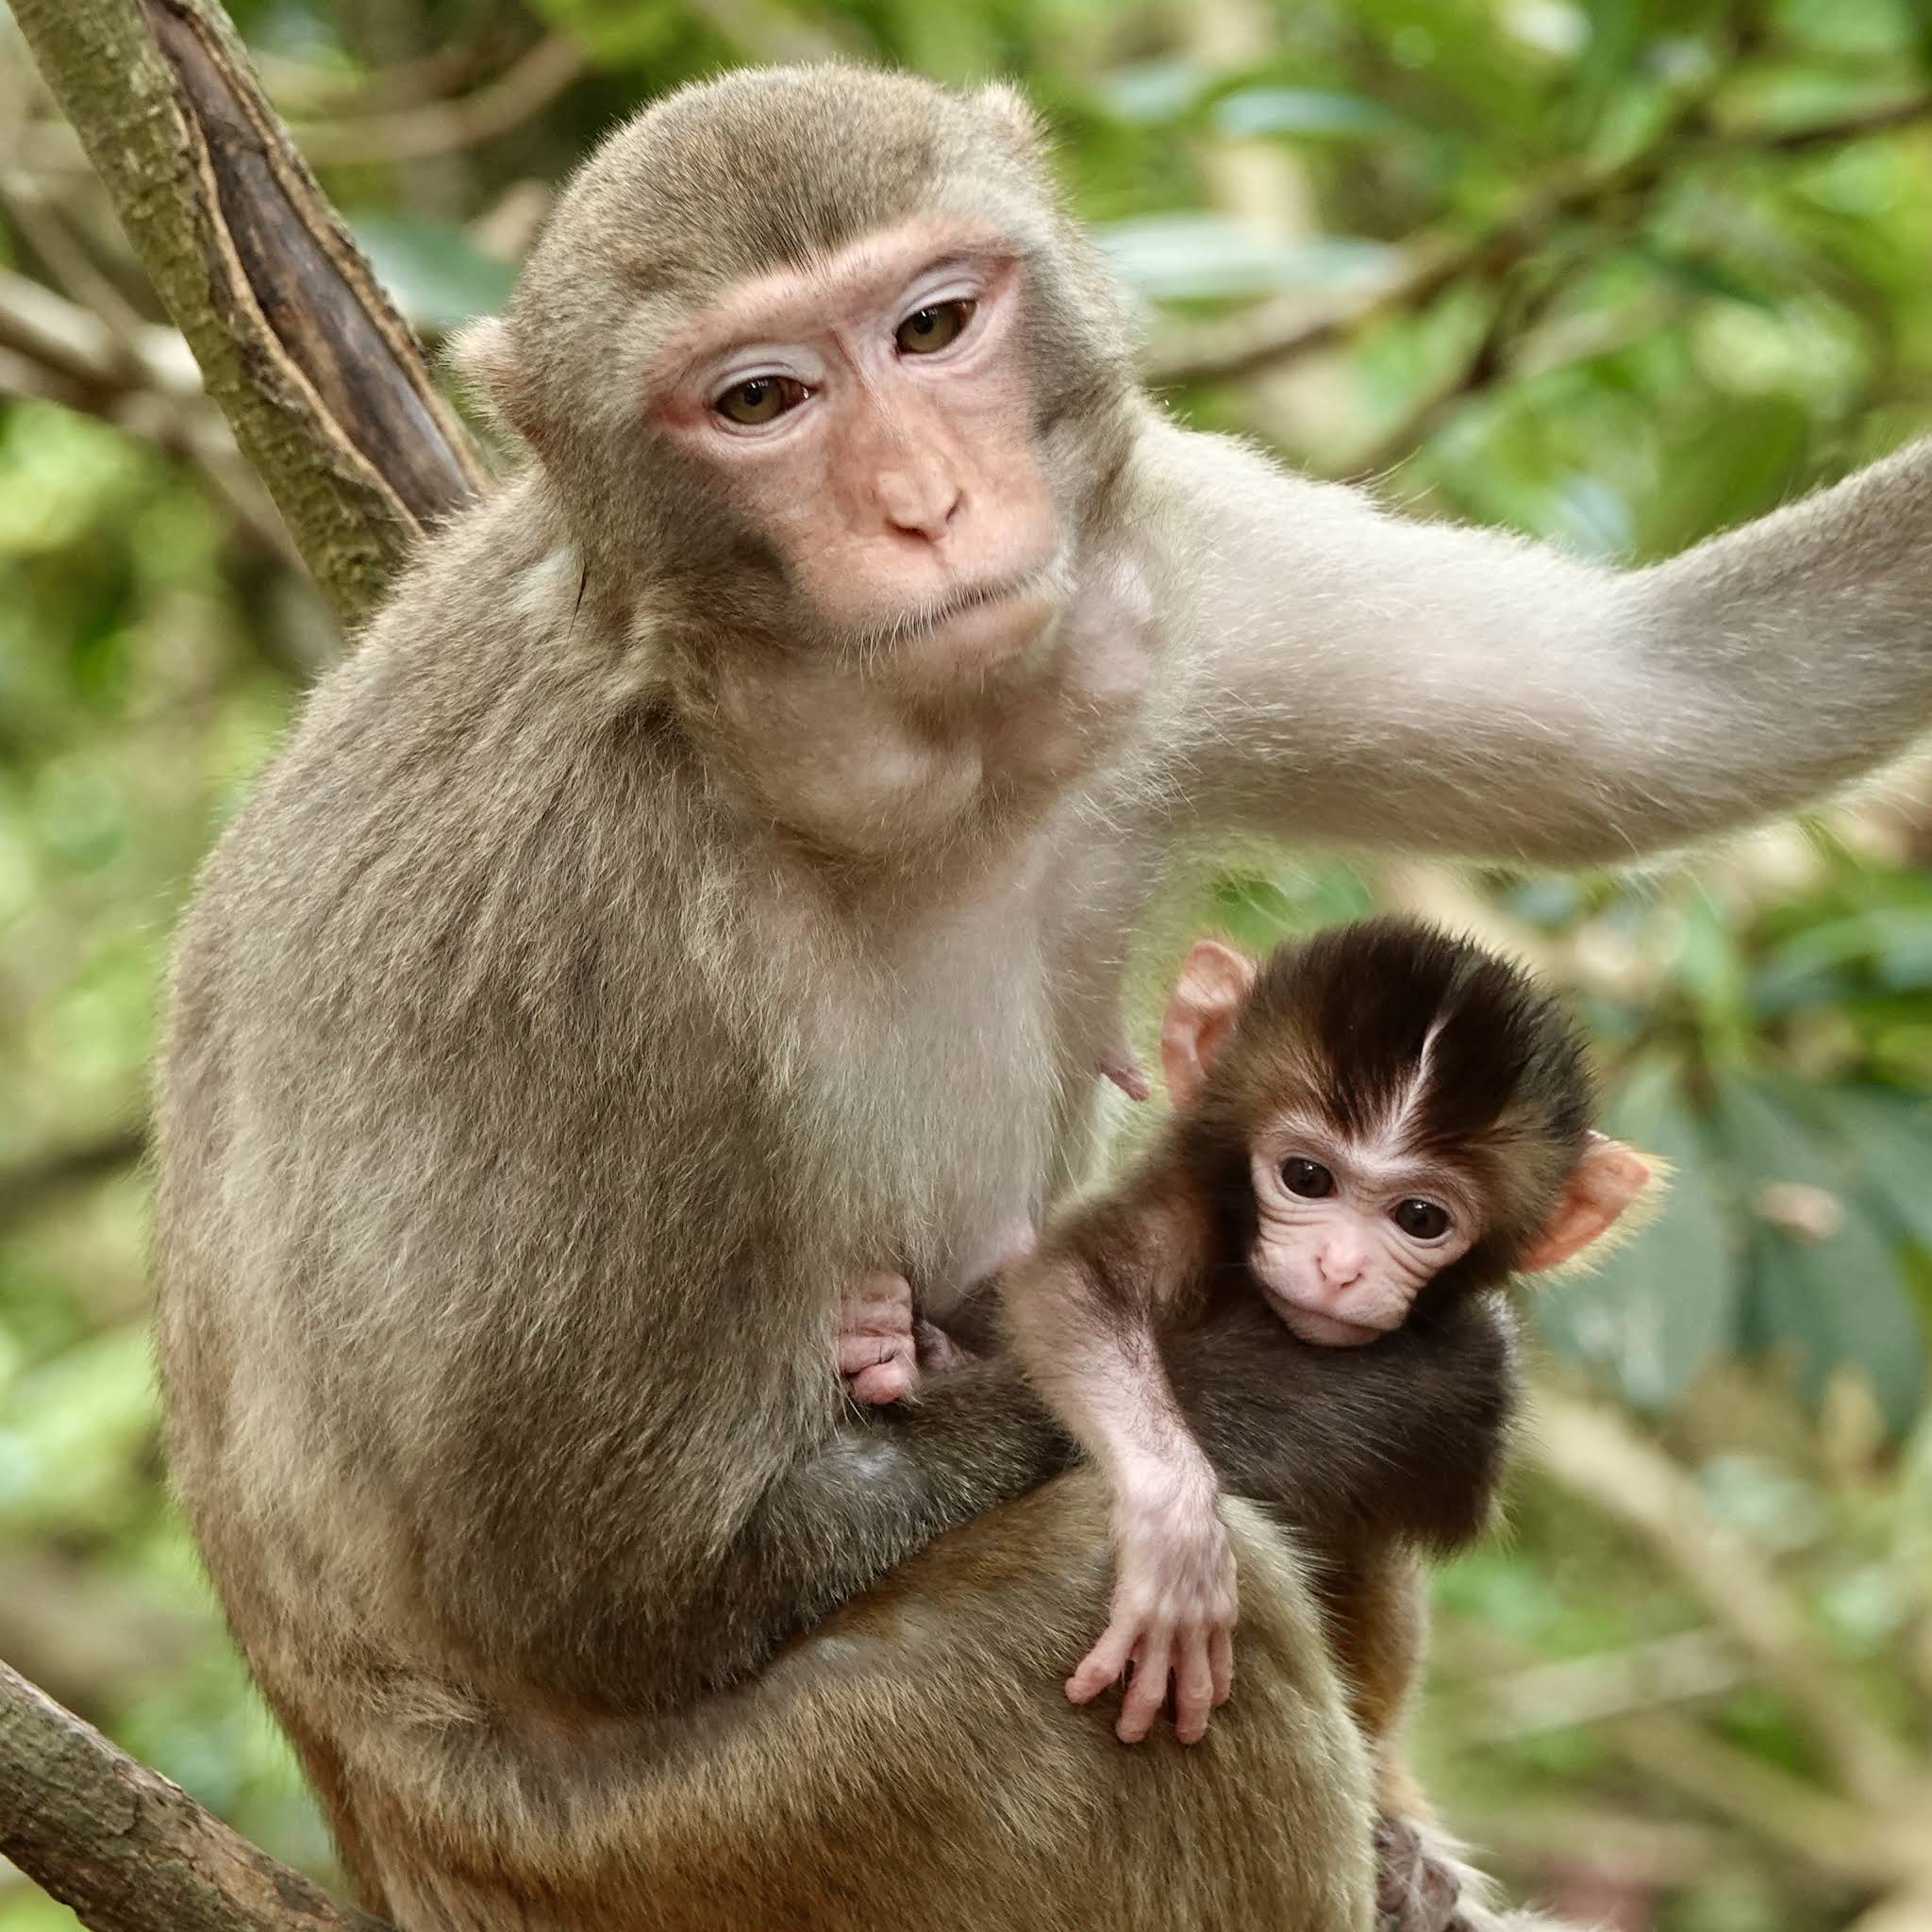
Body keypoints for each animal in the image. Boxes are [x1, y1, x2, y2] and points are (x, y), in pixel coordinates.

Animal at [998, 918, 1654, 1816]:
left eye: (1421, 1218)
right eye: (1306, 1177)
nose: (1340, 1267)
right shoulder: (1185, 1201)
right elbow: (1077, 1284)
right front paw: (1176, 1530)